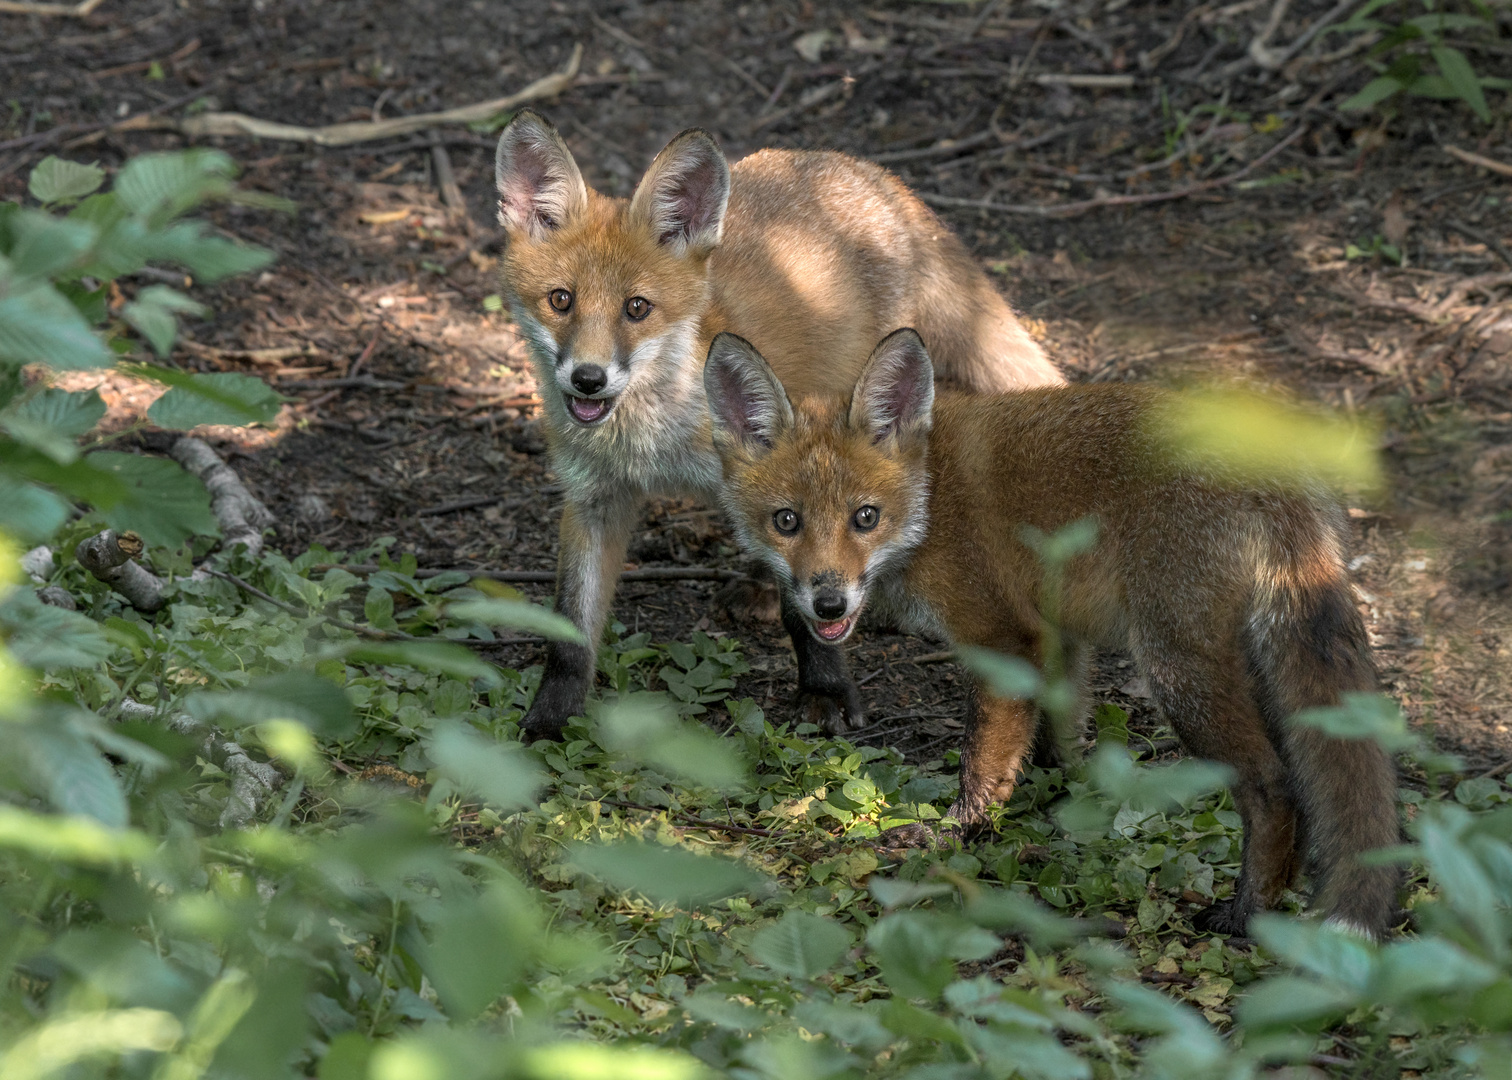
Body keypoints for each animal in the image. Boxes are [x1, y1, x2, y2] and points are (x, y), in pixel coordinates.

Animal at [701, 326, 1397, 931]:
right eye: (786, 521)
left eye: (865, 517)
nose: (826, 602)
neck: (930, 502)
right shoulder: (1058, 638)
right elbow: (1055, 742)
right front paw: (1058, 805)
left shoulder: (1004, 640)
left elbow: (983, 762)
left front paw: (958, 834)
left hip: (1177, 671)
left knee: (1274, 786)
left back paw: (1246, 914)